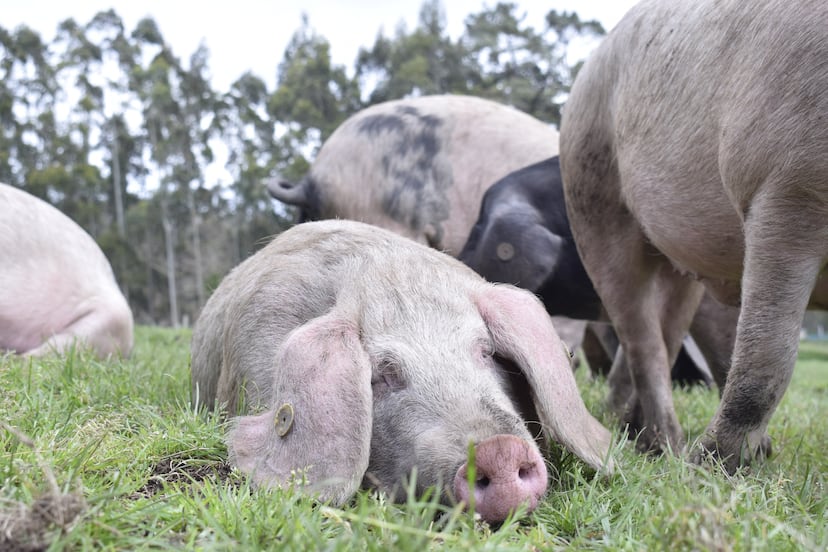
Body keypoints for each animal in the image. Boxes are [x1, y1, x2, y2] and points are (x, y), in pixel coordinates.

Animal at [559, 0, 828, 472]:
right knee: (643, 341)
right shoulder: (785, 187)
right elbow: (770, 354)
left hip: (679, 264)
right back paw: (673, 450)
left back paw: (643, 436)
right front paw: (710, 470)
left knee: (665, 333)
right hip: (594, 204)